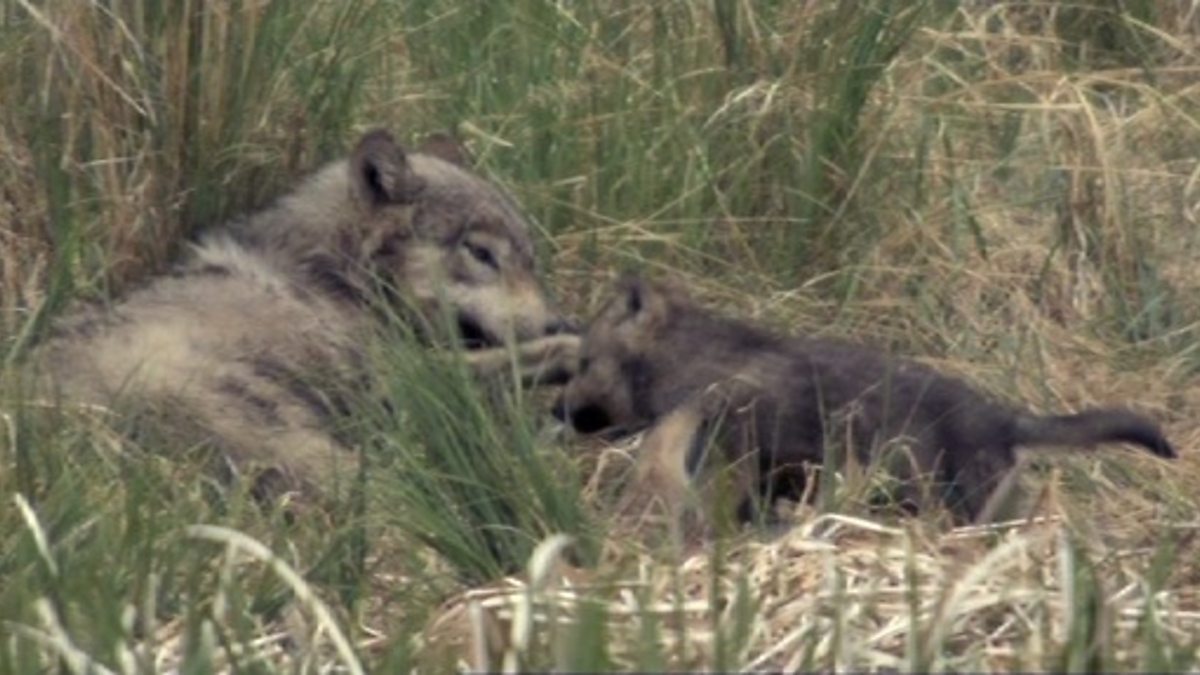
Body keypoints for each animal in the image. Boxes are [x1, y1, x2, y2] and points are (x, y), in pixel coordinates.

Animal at [32, 128, 579, 500]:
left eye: (530, 259)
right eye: (482, 254)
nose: (553, 319)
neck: (332, 274)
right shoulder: (397, 380)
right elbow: (514, 360)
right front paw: (575, 345)